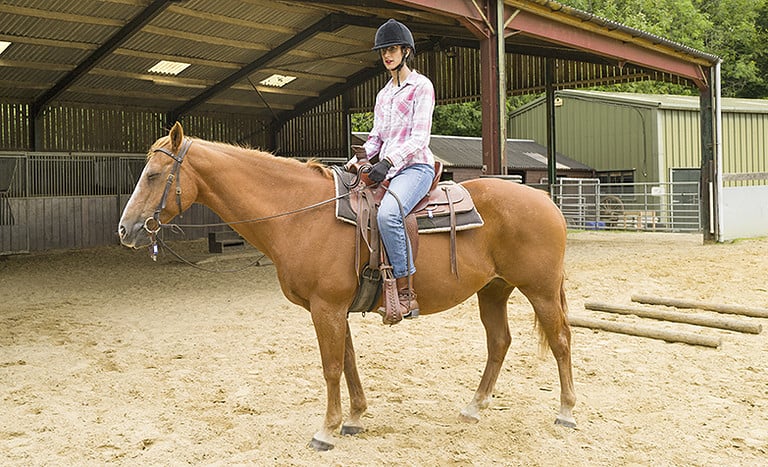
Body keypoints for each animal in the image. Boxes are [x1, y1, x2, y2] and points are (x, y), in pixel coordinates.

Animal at [118, 122, 576, 451]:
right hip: (494, 289)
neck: (301, 214)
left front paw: (326, 430)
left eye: (153, 175)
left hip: (540, 290)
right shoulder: (337, 308)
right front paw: (354, 418)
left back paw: (567, 412)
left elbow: (331, 366)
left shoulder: (327, 306)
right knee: (499, 341)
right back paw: (473, 407)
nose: (125, 229)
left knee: (560, 341)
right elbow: (350, 361)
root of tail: (545, 200)